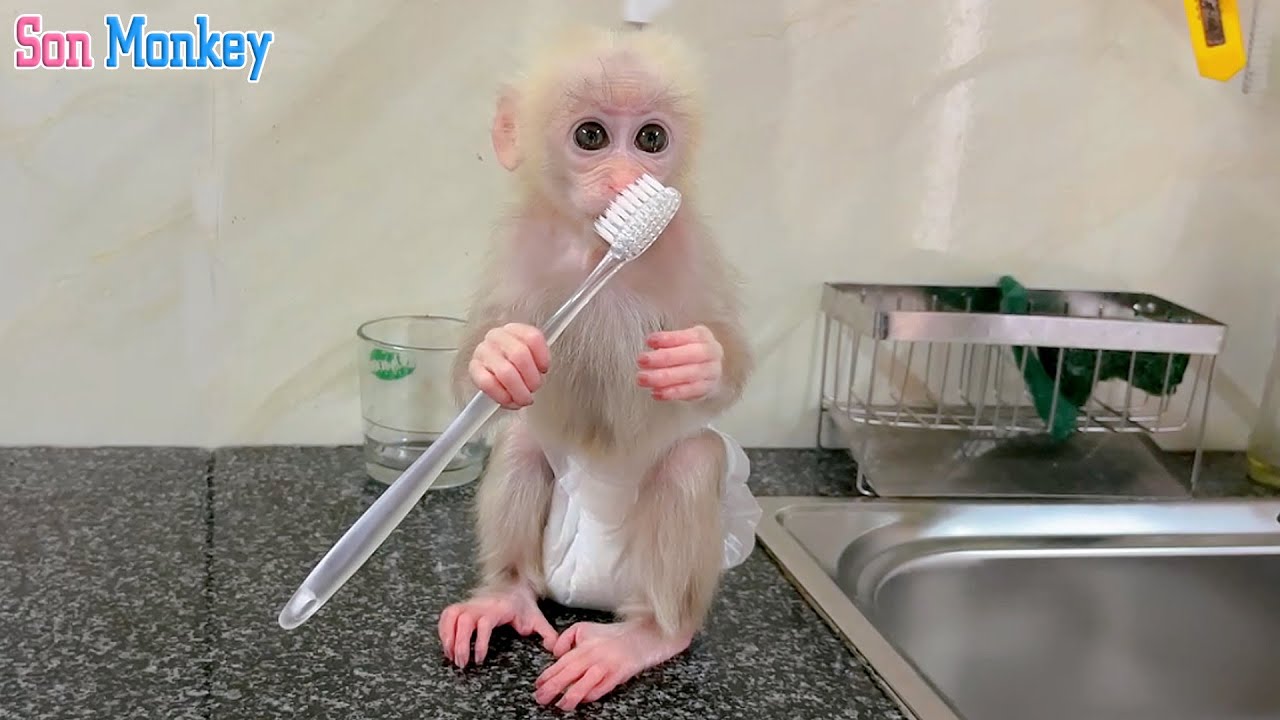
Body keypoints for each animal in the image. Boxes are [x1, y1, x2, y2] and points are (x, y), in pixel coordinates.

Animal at [436, 26, 758, 711]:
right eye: (591, 136)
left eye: (651, 139)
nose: (628, 178)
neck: (599, 253)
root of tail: (591, 595)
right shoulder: (523, 246)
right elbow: (472, 362)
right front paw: (499, 355)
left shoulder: (685, 241)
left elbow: (731, 358)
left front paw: (700, 360)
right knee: (520, 443)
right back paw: (503, 594)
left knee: (693, 463)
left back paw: (647, 636)